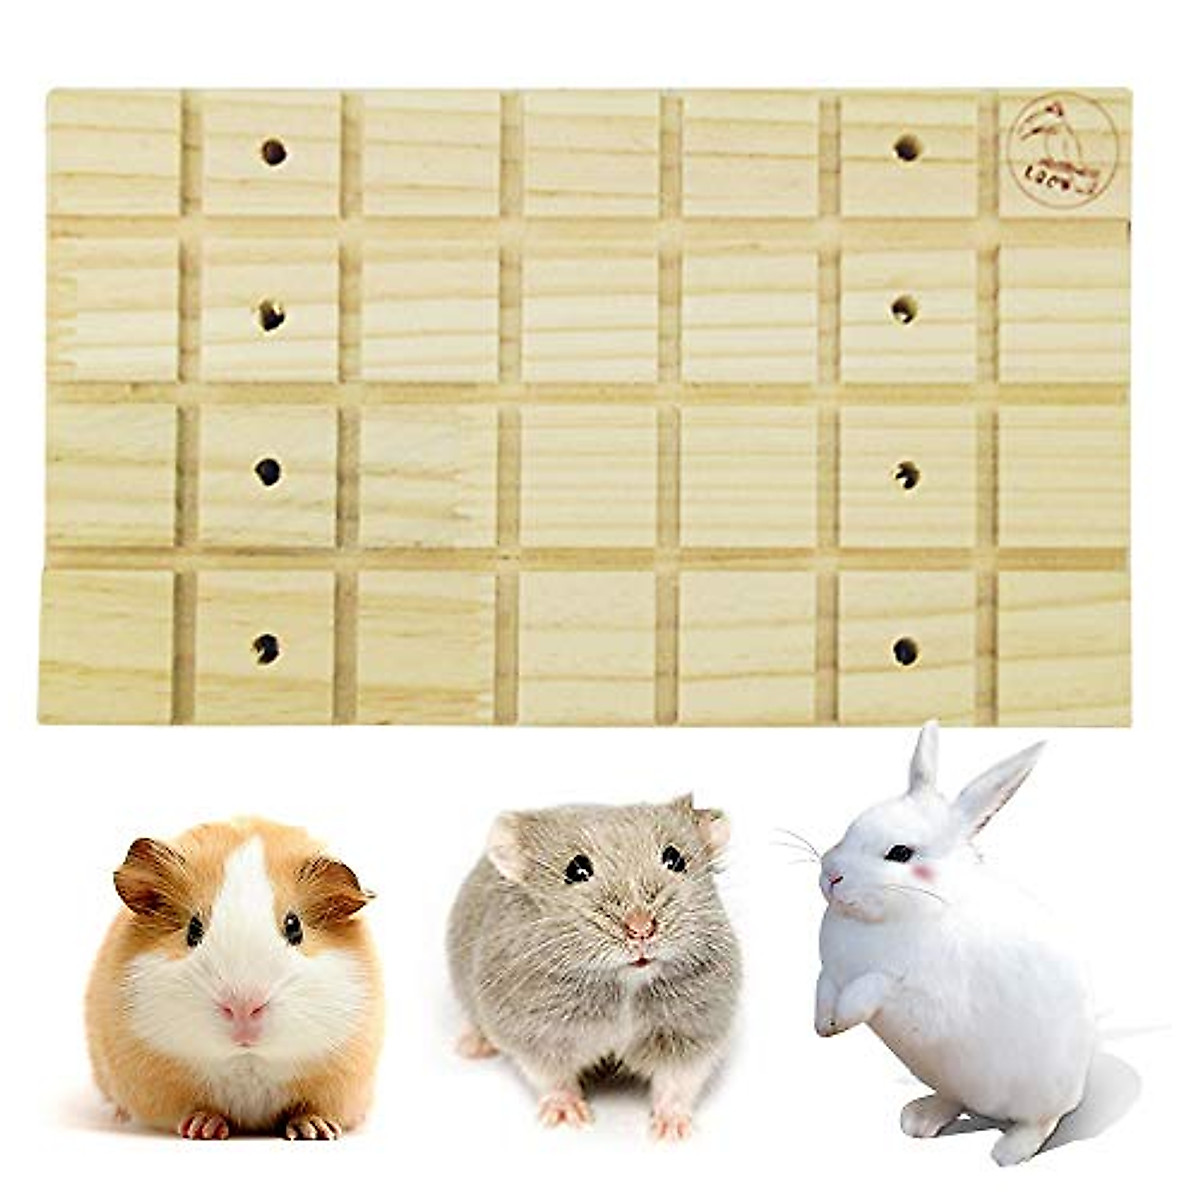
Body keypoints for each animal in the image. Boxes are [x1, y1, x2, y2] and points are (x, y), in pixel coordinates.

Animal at [815, 720, 1095, 1166]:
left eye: (900, 852)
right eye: (851, 827)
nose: (831, 876)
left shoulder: (919, 995)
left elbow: (875, 985)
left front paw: (843, 1017)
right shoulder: (828, 972)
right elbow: (823, 988)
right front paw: (824, 1025)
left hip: (1043, 1091)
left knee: (1043, 1120)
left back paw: (1009, 1153)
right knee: (954, 1099)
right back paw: (919, 1119)